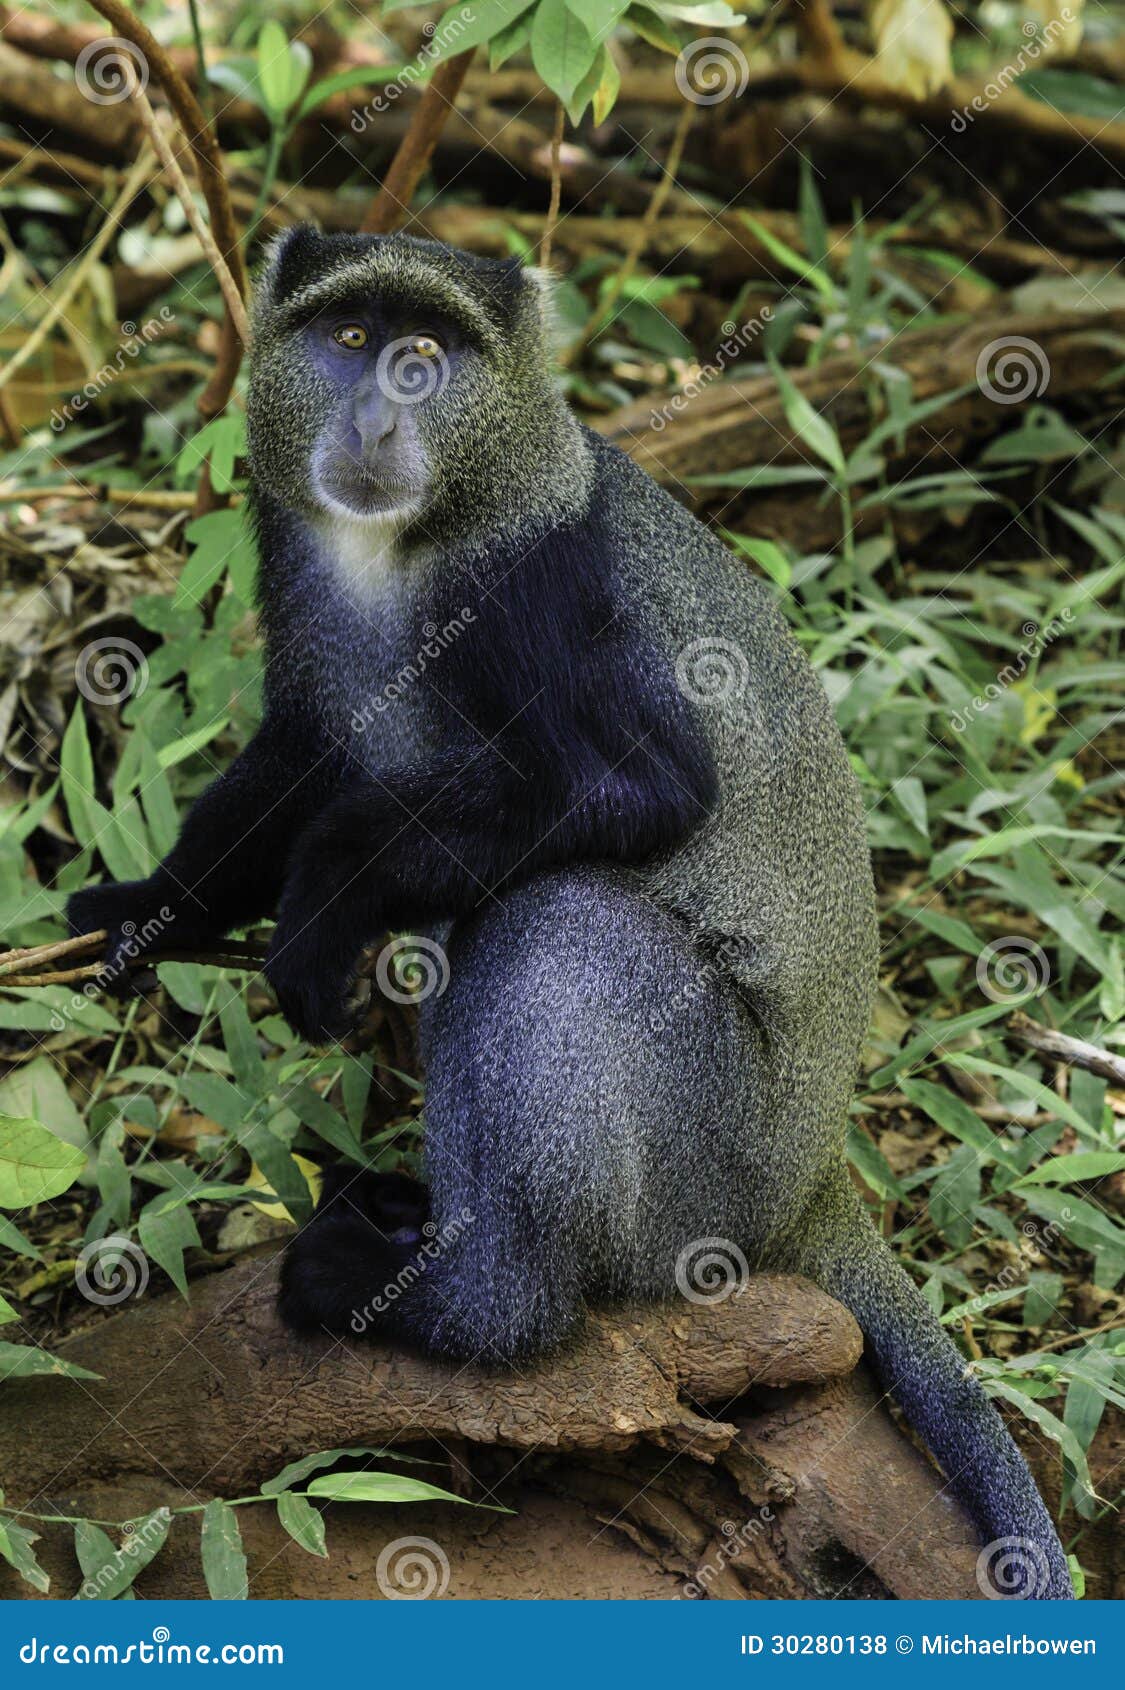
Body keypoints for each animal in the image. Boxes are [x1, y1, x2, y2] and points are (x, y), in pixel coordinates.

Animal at [67, 227, 1072, 1599]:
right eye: (346, 337)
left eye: (426, 354)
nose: (378, 412)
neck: (418, 534)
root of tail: (812, 1180)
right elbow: (310, 752)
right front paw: (147, 910)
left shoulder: (535, 587)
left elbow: (640, 794)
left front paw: (325, 904)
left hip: (708, 1170)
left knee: (556, 921)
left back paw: (474, 1306)